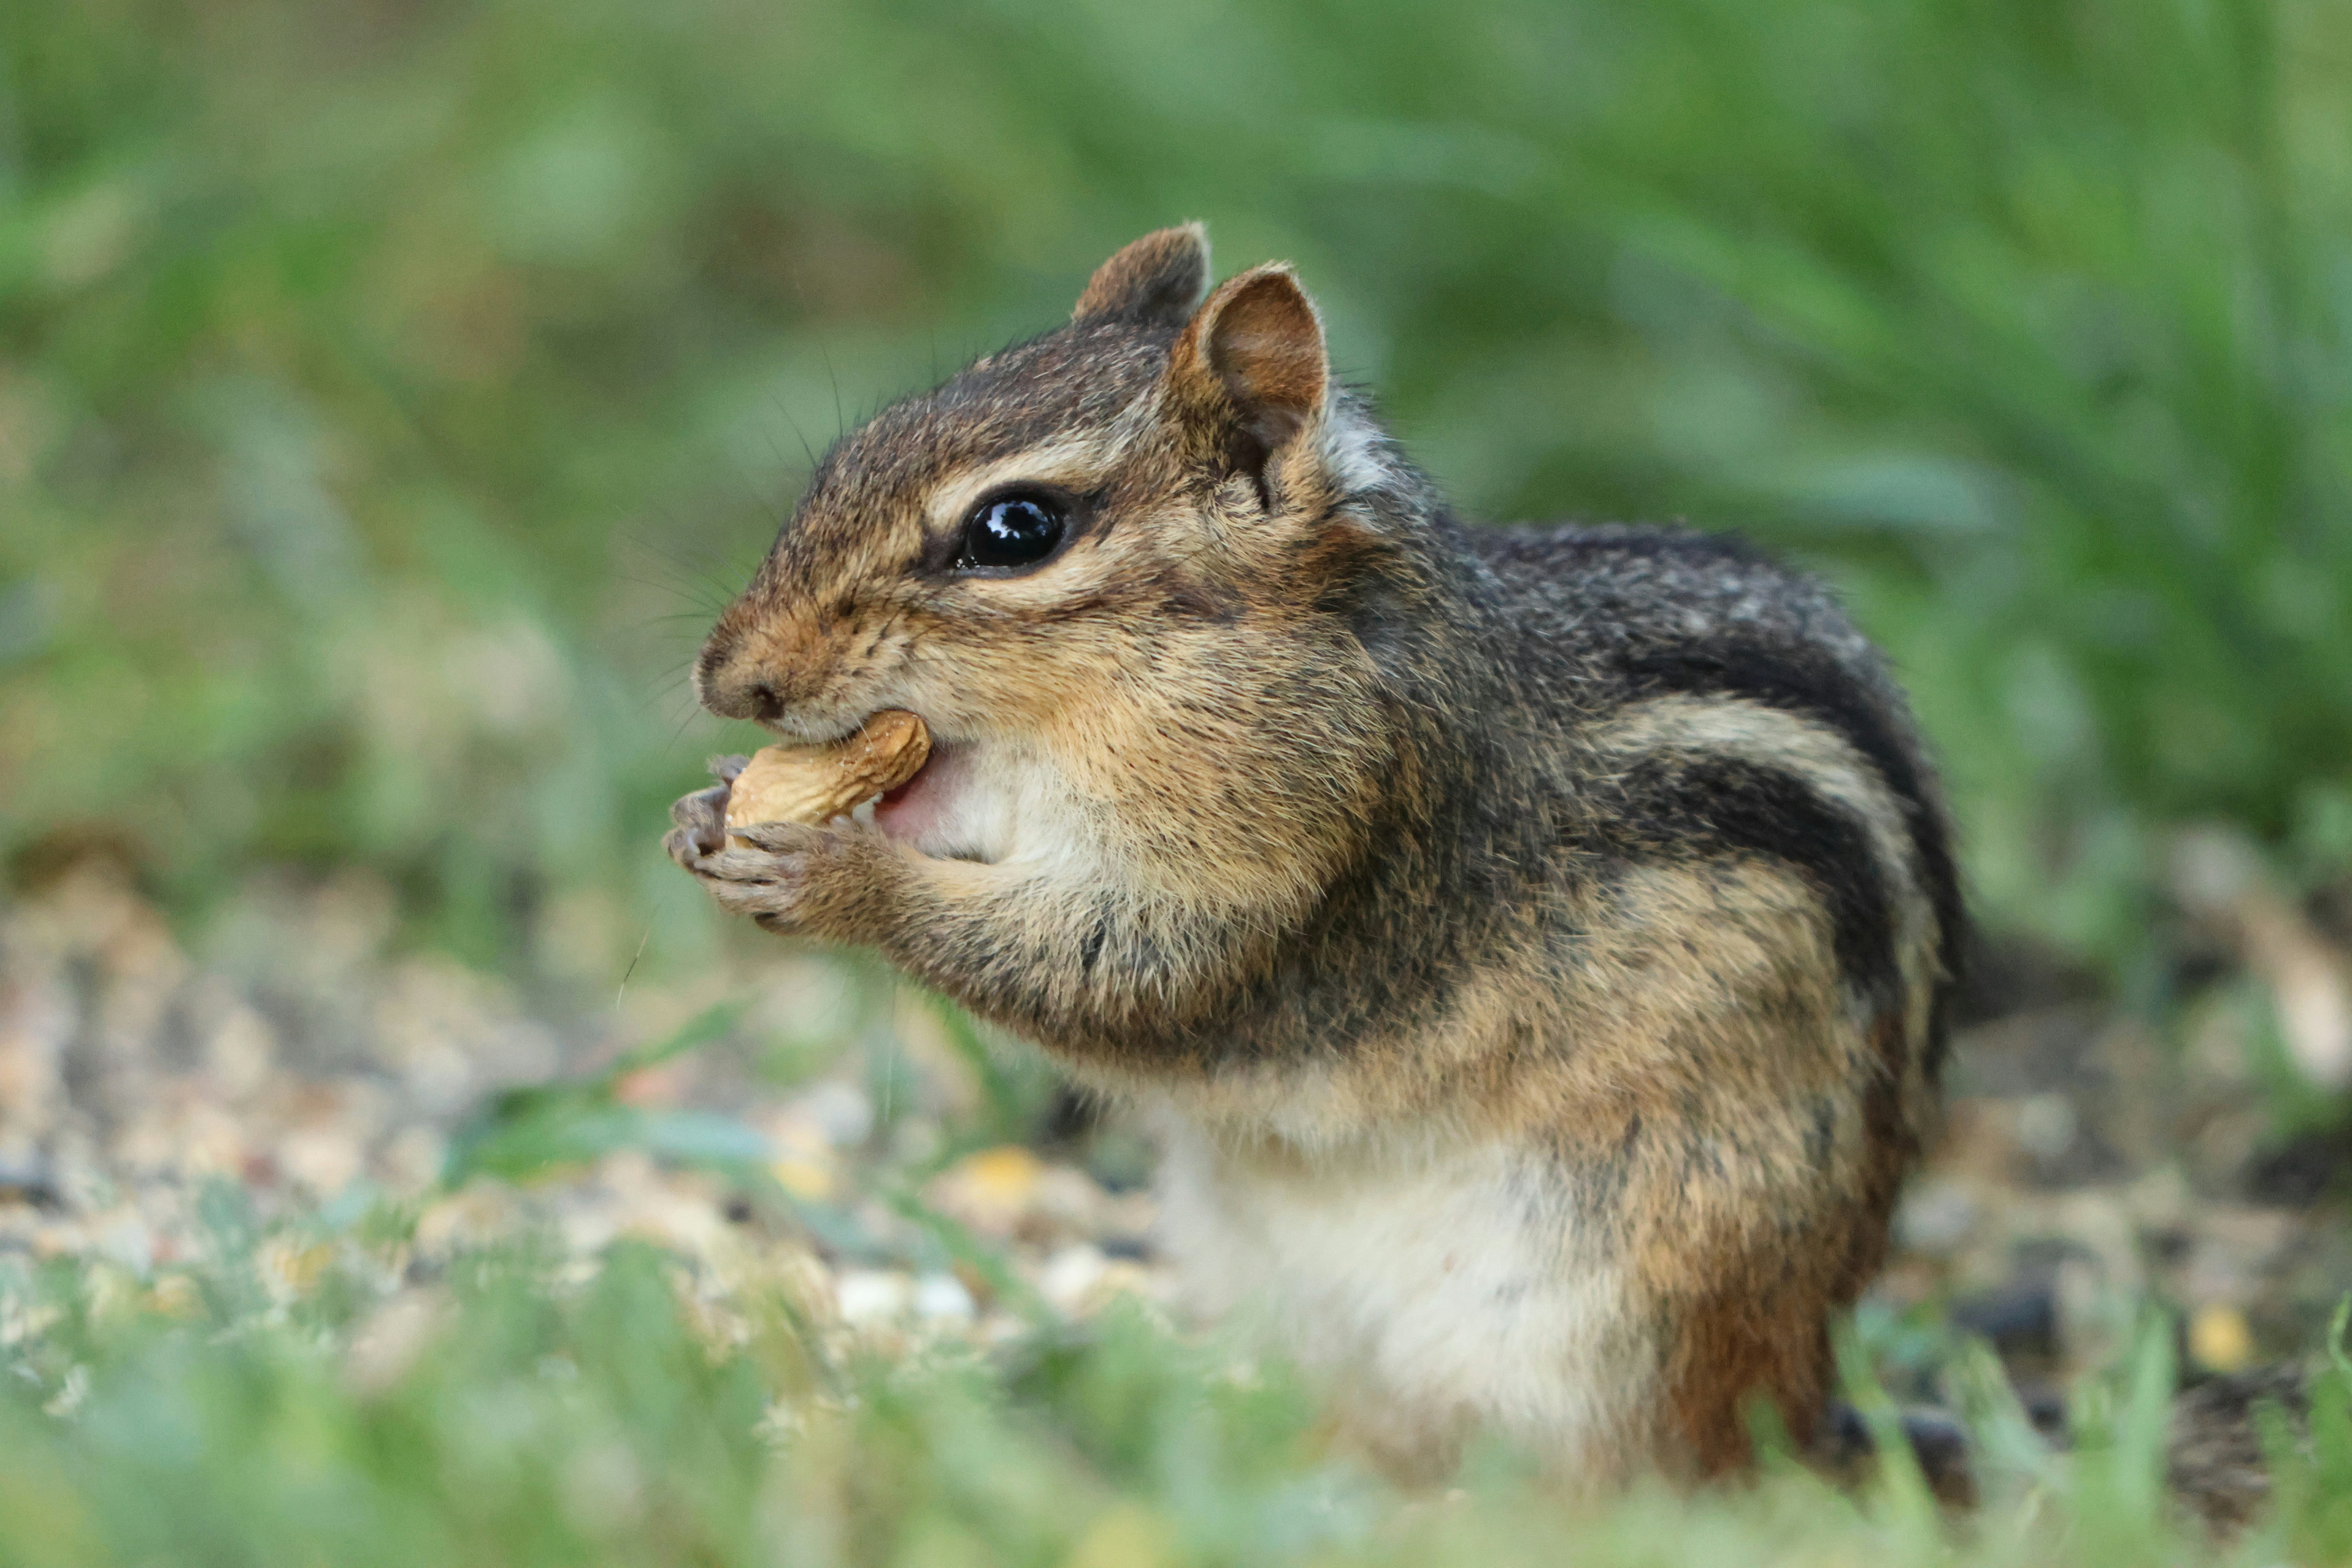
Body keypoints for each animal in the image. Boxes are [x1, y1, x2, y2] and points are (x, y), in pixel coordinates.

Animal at [663, 222, 1966, 1483]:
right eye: (849, 455)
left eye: (1015, 529)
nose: (731, 679)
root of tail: (1804, 1399)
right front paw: (714, 806)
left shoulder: (1306, 842)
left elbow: (1124, 974)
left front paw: (831, 876)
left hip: (1613, 1306)